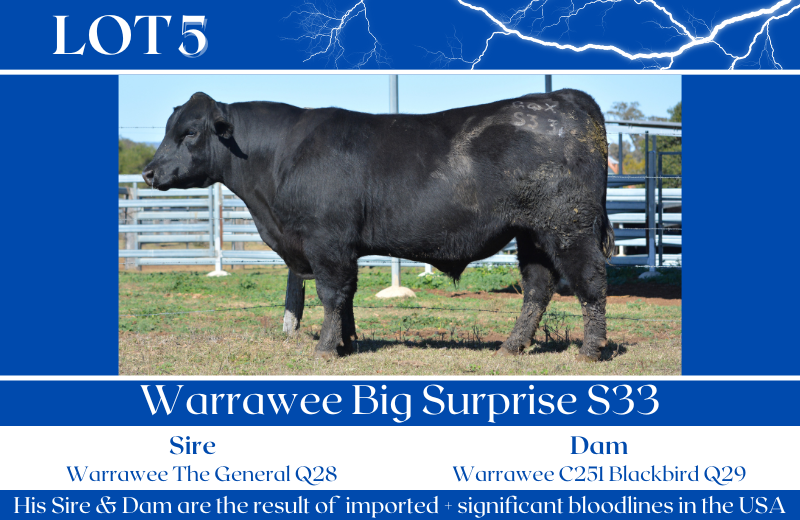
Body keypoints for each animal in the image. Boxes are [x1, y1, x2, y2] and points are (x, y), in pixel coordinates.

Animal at [143, 89, 614, 362]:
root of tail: (567, 98)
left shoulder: (325, 241)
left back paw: (590, 351)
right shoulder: (339, 247)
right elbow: (346, 297)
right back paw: (511, 347)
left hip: (568, 227)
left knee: (590, 282)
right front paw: (347, 343)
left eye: (189, 133)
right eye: (169, 128)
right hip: (531, 233)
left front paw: (324, 350)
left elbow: (331, 294)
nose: (148, 172)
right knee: (537, 287)